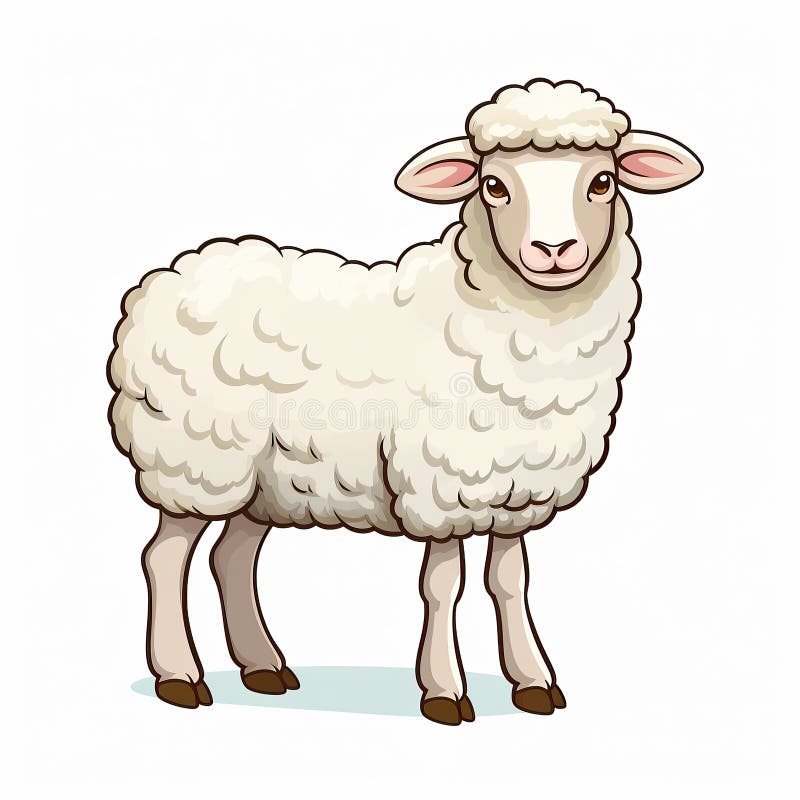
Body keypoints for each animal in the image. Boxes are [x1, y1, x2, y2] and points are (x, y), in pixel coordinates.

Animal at [108, 78, 702, 725]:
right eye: (494, 186)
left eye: (603, 182)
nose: (553, 249)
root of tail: (171, 277)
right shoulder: (440, 483)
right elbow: (443, 587)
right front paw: (444, 691)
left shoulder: (517, 486)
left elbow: (510, 581)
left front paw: (532, 681)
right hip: (196, 460)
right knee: (165, 558)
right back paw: (179, 676)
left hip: (267, 480)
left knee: (232, 558)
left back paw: (264, 667)